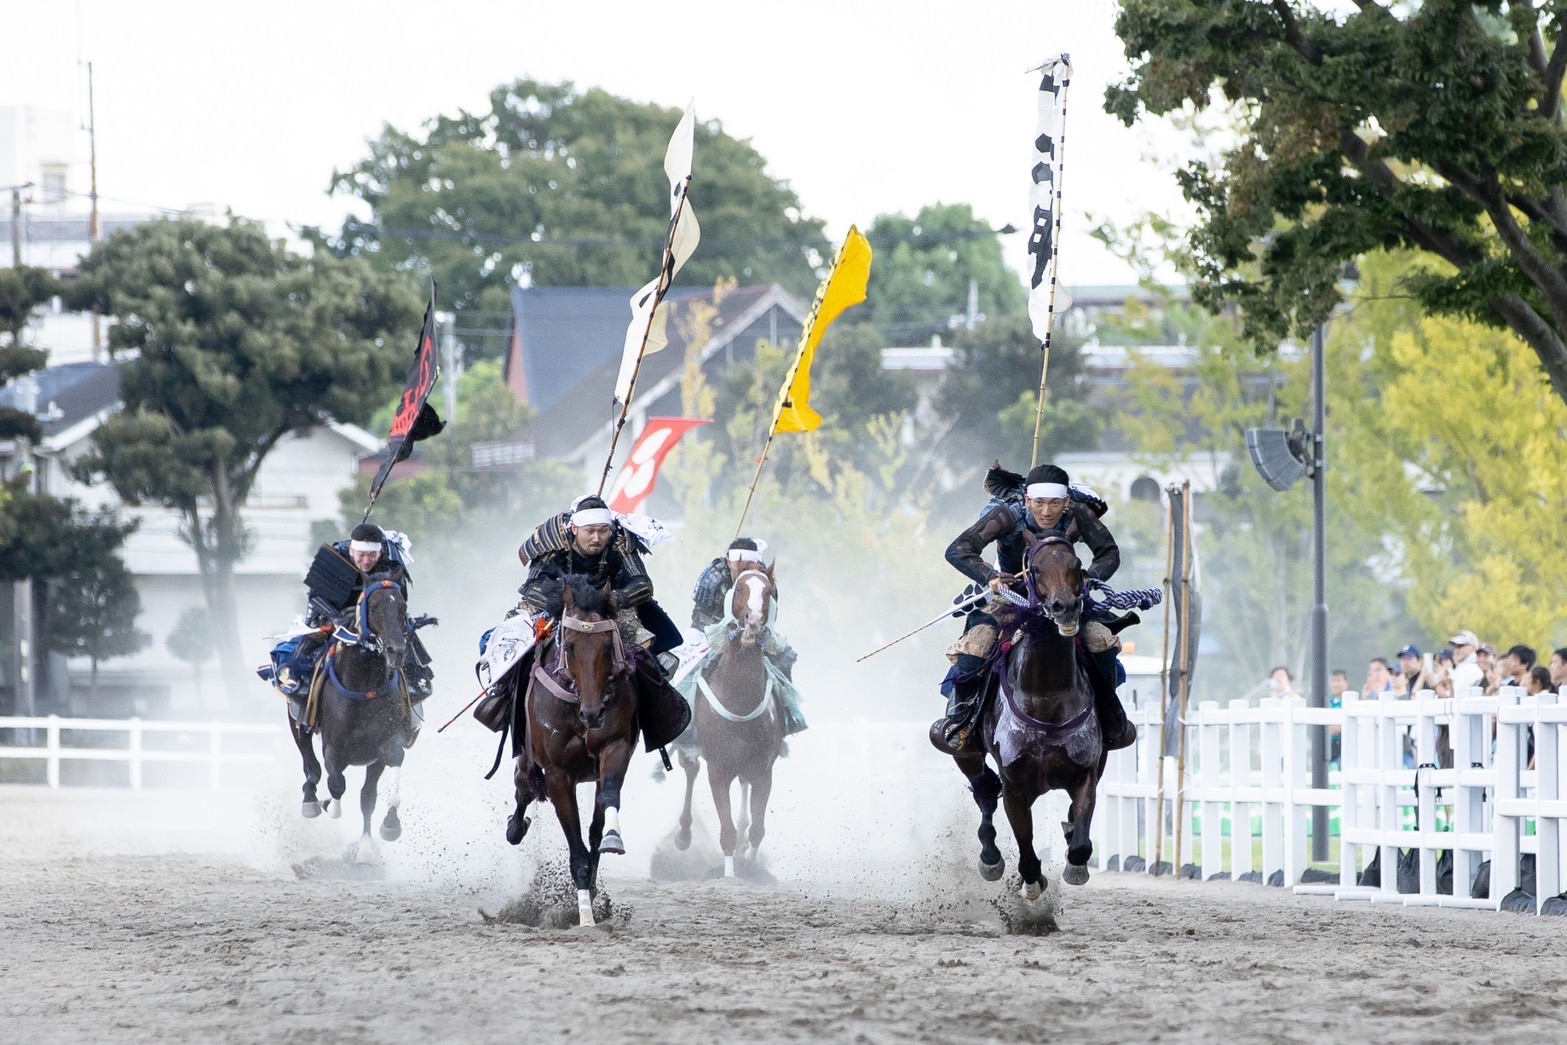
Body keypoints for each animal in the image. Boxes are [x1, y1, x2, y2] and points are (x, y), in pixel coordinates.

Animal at [289, 575, 418, 863]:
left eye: (402, 606)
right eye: (374, 606)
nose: (396, 652)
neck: (363, 685)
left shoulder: (386, 743)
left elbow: (380, 785)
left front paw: (390, 825)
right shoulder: (333, 747)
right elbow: (336, 784)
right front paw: (327, 804)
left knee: (366, 795)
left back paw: (366, 847)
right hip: (297, 719)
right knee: (310, 764)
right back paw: (311, 800)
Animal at [505, 575, 641, 927]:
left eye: (607, 646)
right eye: (569, 647)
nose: (592, 714)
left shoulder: (614, 749)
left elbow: (606, 806)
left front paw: (612, 839)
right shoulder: (557, 774)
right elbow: (577, 848)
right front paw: (586, 917)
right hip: (526, 762)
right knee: (523, 788)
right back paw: (515, 827)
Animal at [674, 565, 784, 878]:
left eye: (768, 591)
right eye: (740, 588)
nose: (753, 621)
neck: (739, 698)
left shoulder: (763, 769)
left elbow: (758, 828)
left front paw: (751, 866)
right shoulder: (719, 769)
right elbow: (727, 830)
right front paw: (730, 874)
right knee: (690, 769)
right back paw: (684, 834)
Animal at [951, 532, 1105, 900]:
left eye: (1076, 564)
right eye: (1035, 568)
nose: (1064, 607)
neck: (1046, 696)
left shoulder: (1085, 771)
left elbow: (1081, 838)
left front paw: (1075, 865)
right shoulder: (1015, 785)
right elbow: (1024, 843)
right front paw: (1031, 881)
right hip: (965, 753)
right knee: (983, 792)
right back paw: (990, 858)